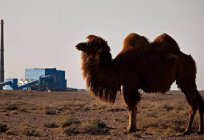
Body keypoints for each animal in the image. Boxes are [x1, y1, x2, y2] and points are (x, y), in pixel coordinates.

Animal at [75, 32, 203, 135]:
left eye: (92, 44)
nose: (78, 45)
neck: (116, 68)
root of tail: (191, 60)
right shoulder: (129, 87)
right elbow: (132, 108)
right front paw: (132, 127)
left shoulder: (129, 86)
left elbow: (131, 107)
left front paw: (130, 129)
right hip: (190, 81)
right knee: (199, 100)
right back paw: (199, 130)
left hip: (186, 80)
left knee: (192, 104)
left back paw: (187, 130)